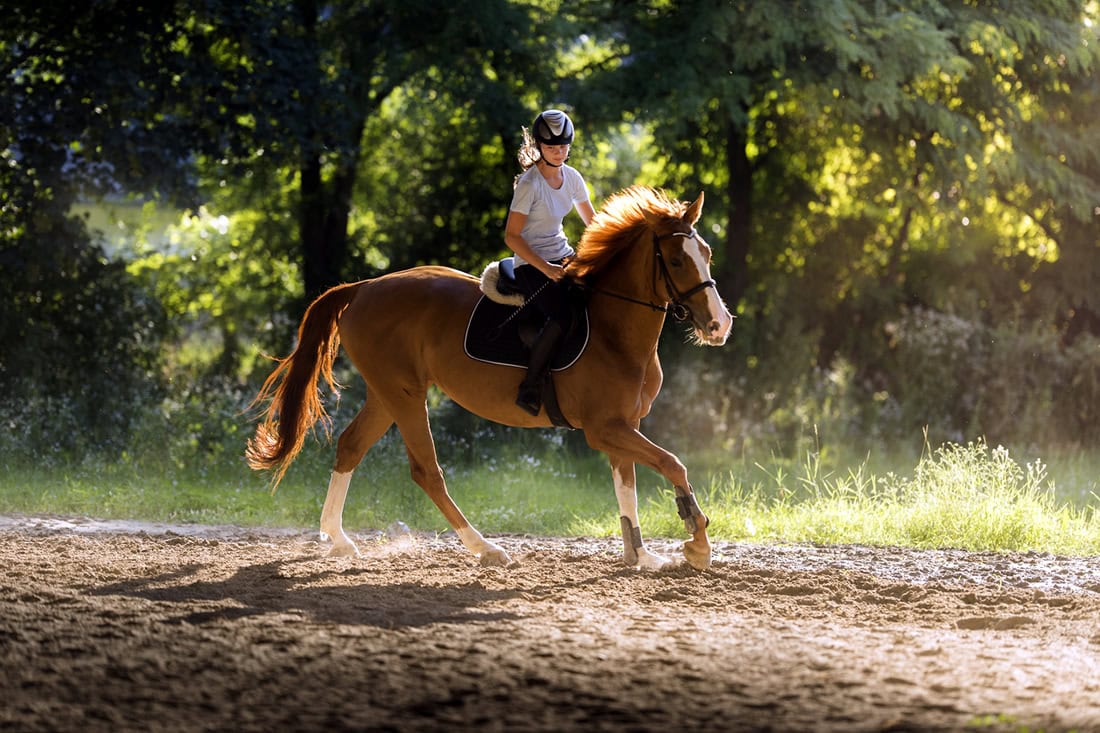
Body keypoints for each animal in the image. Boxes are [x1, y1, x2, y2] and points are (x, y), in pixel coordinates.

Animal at [246, 185, 734, 571]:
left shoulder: (622, 426)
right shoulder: (604, 428)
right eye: (676, 259)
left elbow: (627, 486)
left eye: (707, 254)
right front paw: (696, 540)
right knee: (427, 471)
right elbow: (673, 463)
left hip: (386, 394)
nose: (719, 326)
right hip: (404, 394)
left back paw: (338, 539)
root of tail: (363, 287)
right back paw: (485, 549)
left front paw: (641, 555)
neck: (613, 329)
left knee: (350, 446)